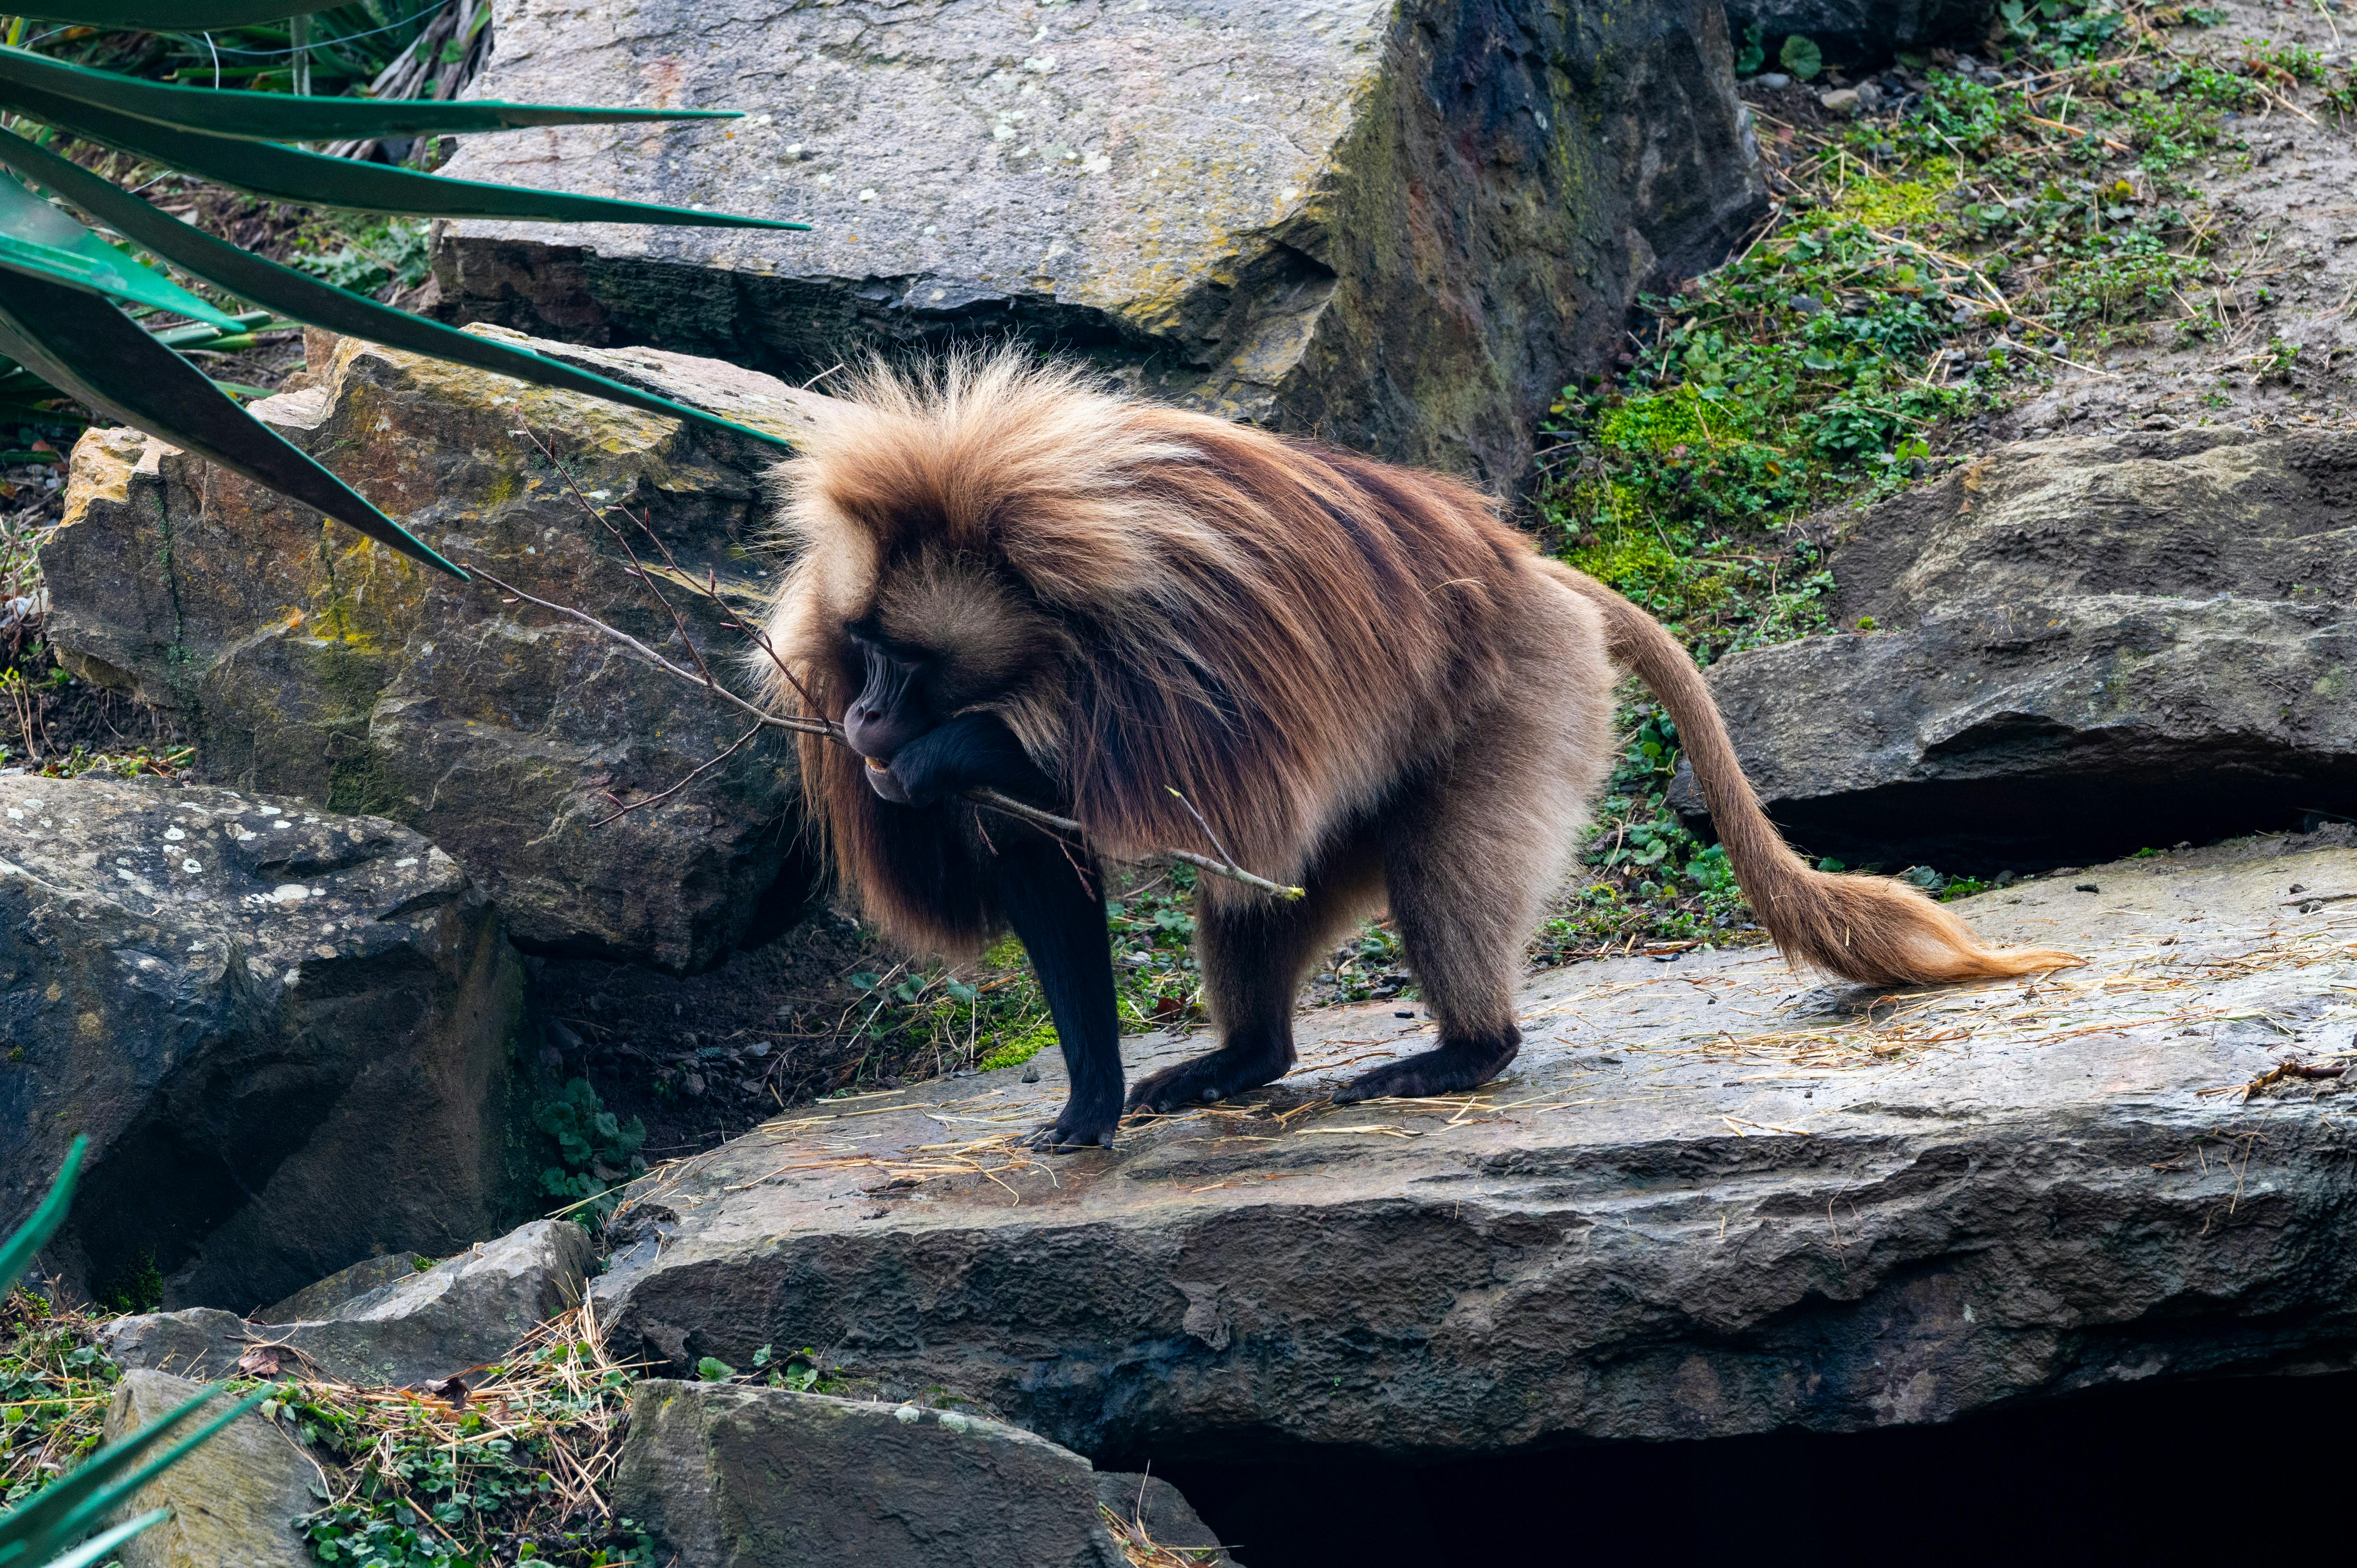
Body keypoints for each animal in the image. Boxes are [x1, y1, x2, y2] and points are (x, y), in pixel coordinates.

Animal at [754, 356, 2076, 1151]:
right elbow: (1054, 874)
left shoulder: (1181, 643)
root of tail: (1537, 572)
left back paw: (1462, 1057)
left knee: (1442, 878)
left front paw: (945, 755)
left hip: (1522, 704)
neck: (1047, 622)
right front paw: (1092, 1103)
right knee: (1275, 900)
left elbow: (1195, 794)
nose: (862, 725)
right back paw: (1245, 1061)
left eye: (902, 665)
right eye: (860, 652)